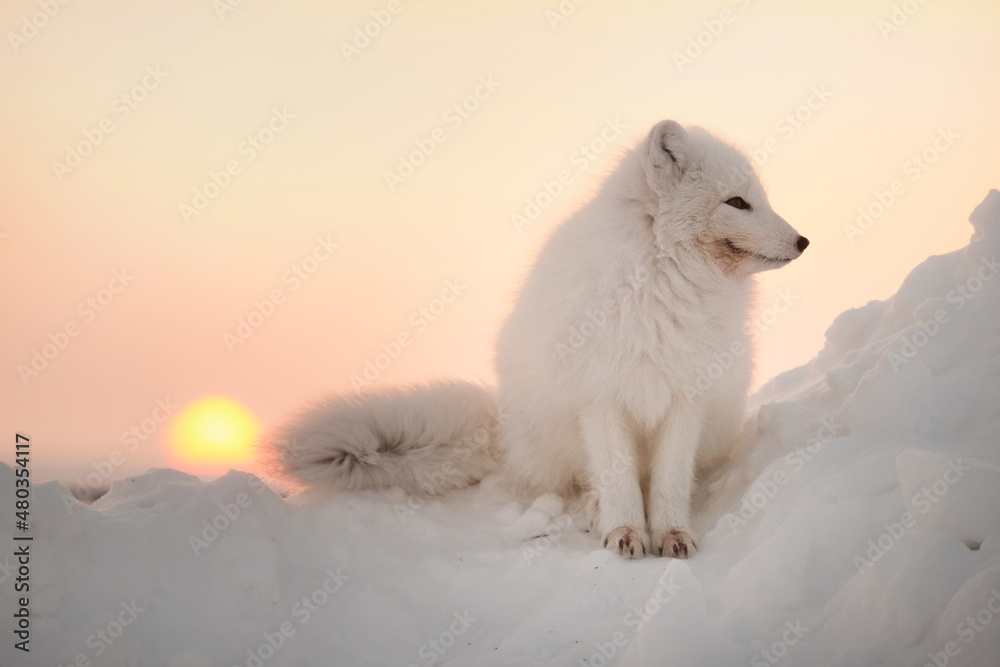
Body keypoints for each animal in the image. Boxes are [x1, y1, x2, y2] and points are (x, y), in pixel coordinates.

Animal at [262, 119, 809, 559]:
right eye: (737, 202)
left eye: (758, 198)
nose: (803, 240)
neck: (663, 281)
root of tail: (502, 431)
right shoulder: (600, 395)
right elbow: (616, 474)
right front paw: (626, 531)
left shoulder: (687, 393)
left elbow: (671, 477)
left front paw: (672, 534)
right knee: (583, 479)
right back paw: (596, 508)